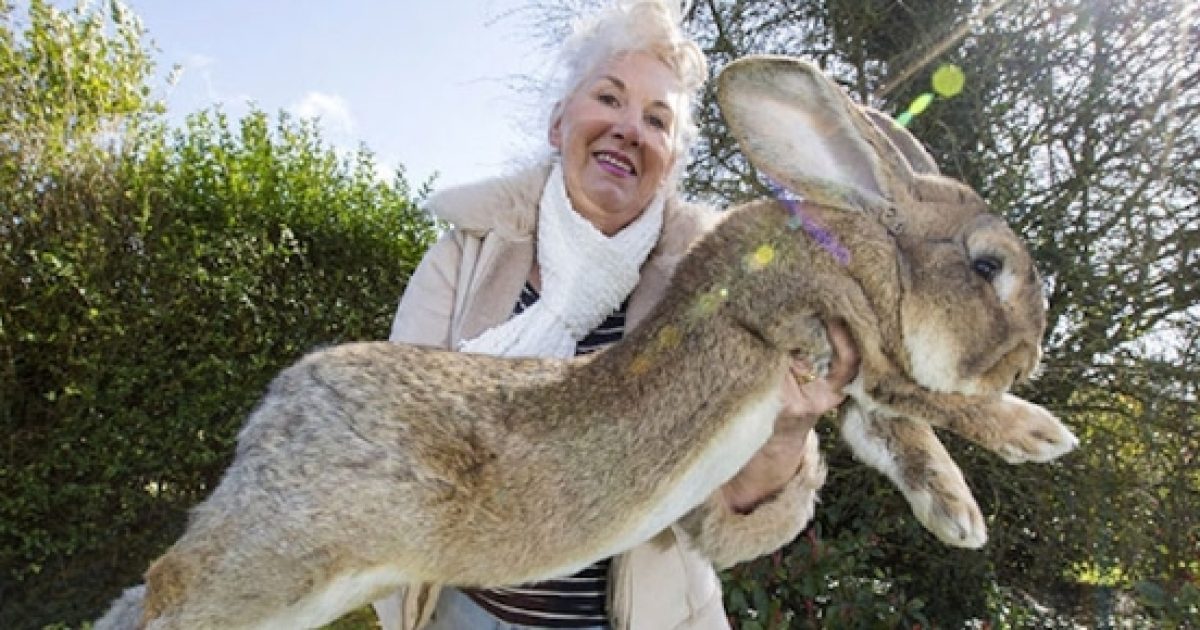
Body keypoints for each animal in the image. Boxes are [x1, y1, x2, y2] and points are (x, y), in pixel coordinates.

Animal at [95, 55, 1076, 630]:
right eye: (989, 265)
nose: (1032, 357)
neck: (862, 247)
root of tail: (275, 415)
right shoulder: (827, 330)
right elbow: (926, 397)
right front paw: (1037, 434)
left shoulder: (850, 383)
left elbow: (898, 435)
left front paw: (958, 516)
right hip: (287, 556)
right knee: (172, 580)